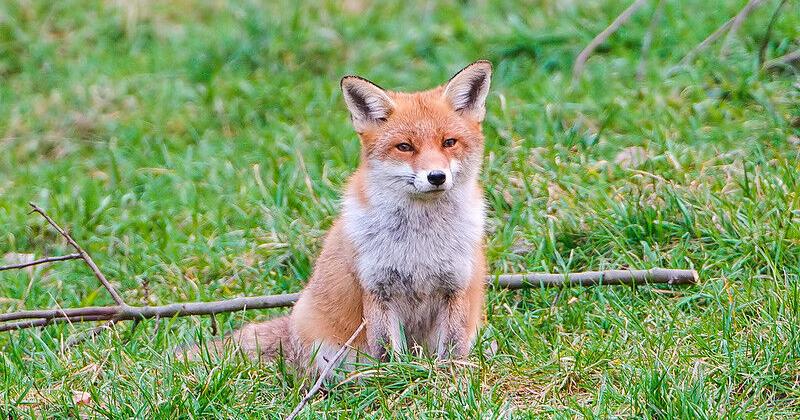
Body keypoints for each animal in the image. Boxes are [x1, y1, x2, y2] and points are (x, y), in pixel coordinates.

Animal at [181, 60, 492, 378]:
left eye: (449, 142)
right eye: (405, 147)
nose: (437, 176)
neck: (420, 243)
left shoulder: (456, 286)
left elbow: (452, 350)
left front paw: (449, 378)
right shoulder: (377, 288)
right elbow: (387, 353)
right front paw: (397, 381)